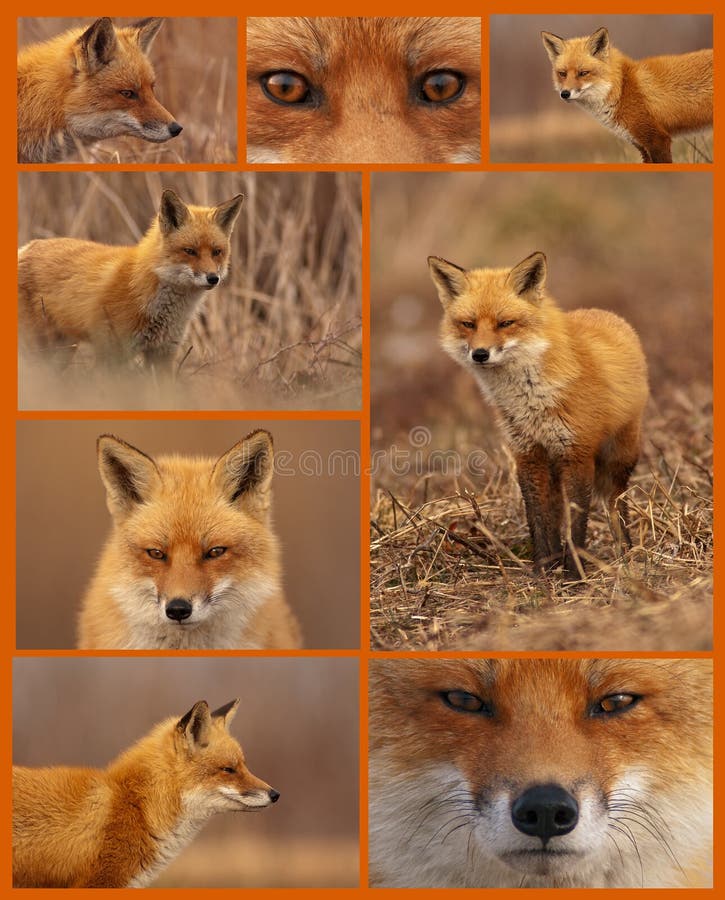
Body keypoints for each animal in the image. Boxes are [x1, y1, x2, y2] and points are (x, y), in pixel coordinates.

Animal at [18, 189, 243, 374]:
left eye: (216, 252)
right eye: (190, 251)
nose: (213, 278)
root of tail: (27, 247)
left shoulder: (163, 353)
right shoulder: (111, 353)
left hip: (61, 350)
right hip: (39, 347)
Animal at [429, 251, 648, 575]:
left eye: (505, 323)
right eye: (468, 324)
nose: (480, 354)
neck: (529, 401)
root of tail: (608, 314)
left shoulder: (577, 453)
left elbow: (576, 522)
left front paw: (574, 574)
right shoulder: (528, 453)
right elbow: (539, 518)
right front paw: (543, 569)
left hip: (618, 457)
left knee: (615, 503)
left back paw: (627, 552)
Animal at [541, 27, 713, 163]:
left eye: (583, 73)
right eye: (562, 74)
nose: (564, 94)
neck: (622, 88)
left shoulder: (657, 139)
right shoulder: (642, 145)